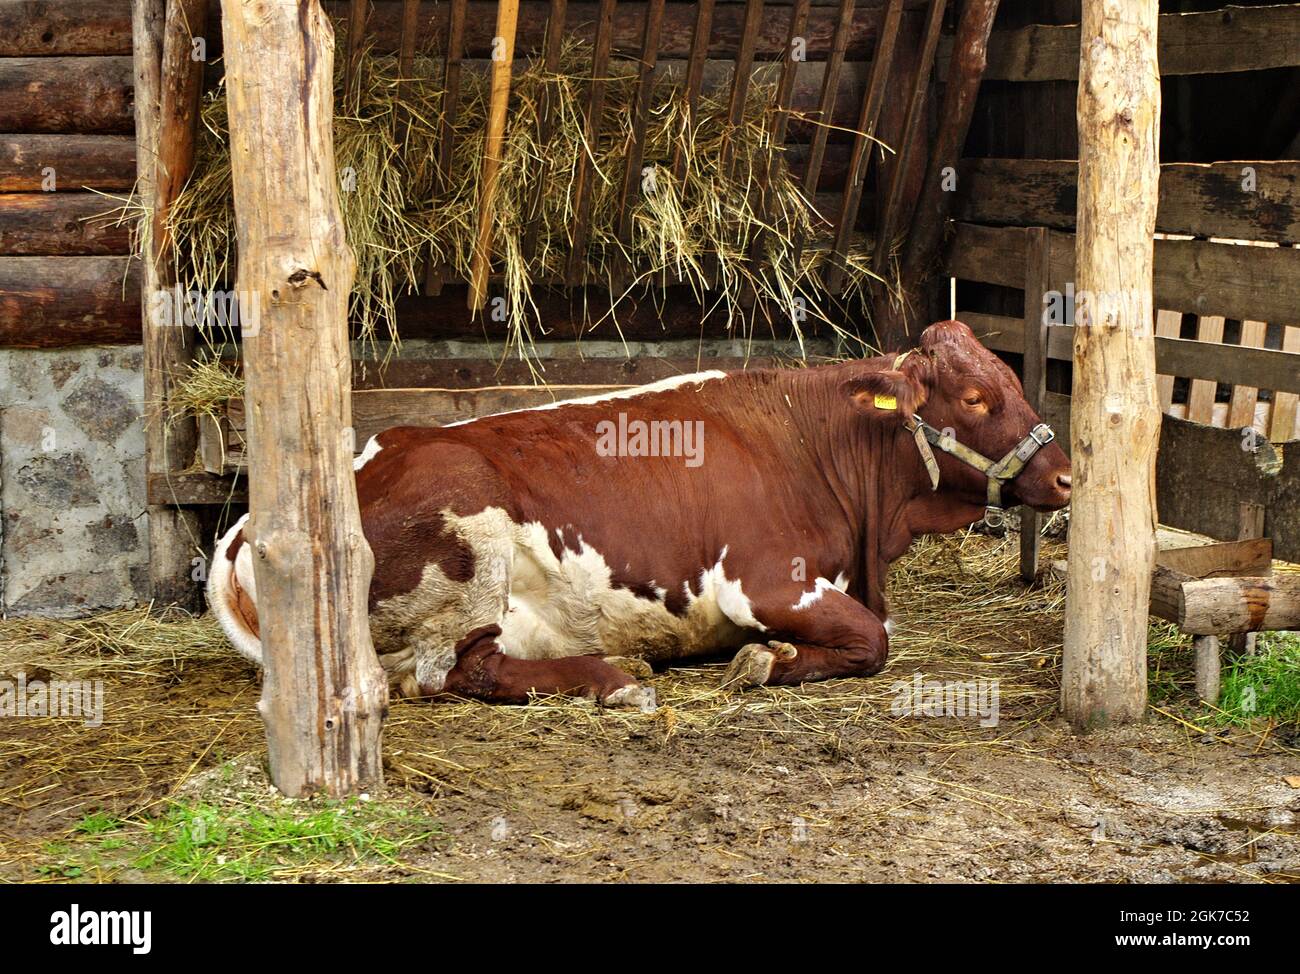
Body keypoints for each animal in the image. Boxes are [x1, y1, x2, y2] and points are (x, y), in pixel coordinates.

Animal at [208, 319, 1071, 711]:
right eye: (976, 398)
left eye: (1008, 378)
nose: (1066, 476)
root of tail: (251, 526)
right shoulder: (759, 581)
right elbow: (872, 639)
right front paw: (764, 661)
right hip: (468, 533)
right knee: (459, 670)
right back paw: (615, 677)